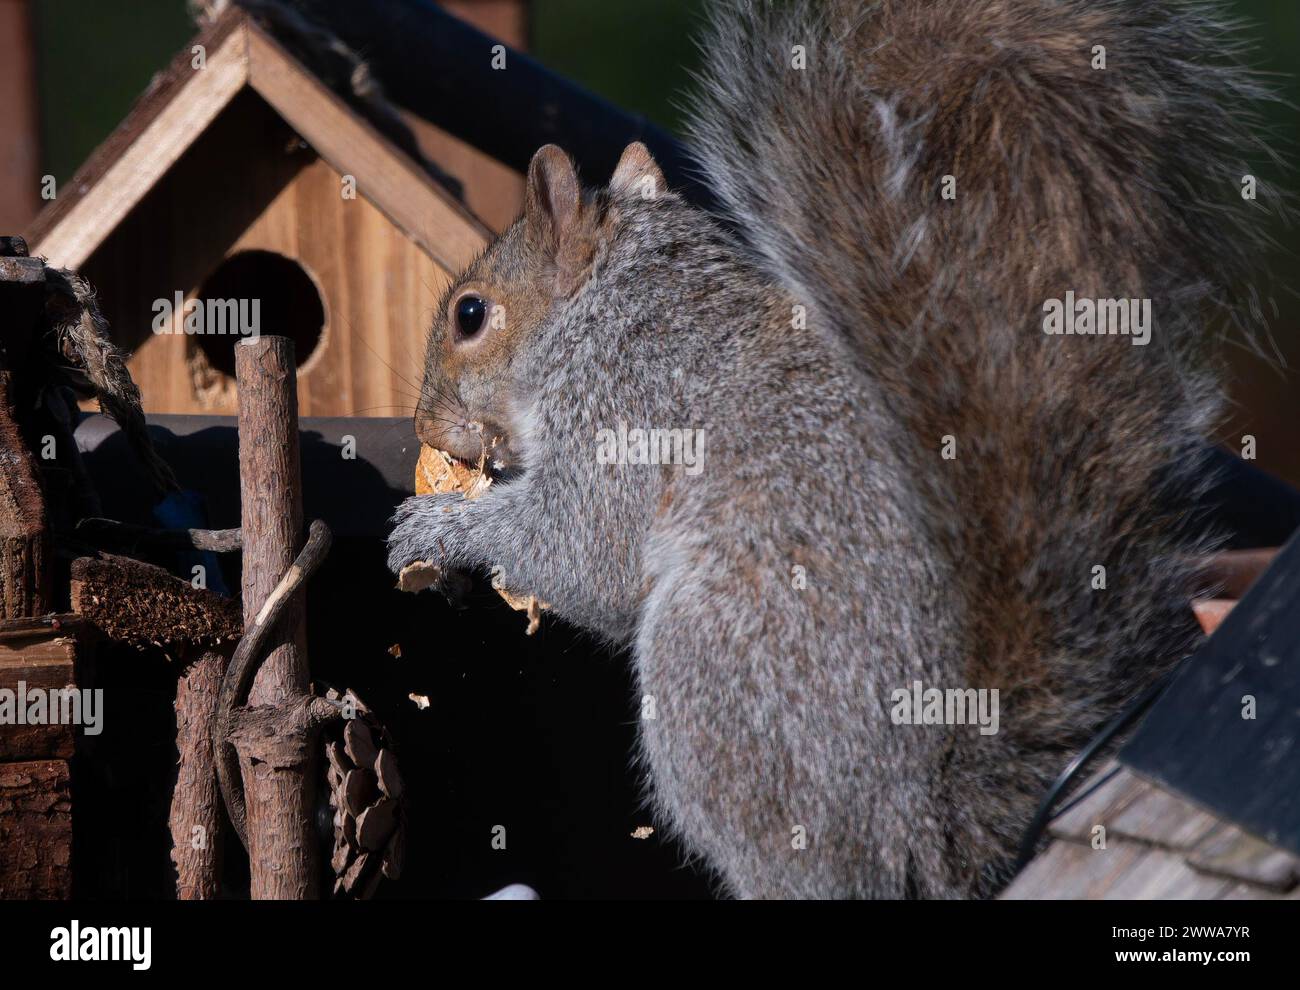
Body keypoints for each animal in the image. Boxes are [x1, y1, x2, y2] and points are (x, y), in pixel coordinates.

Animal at [387, 0, 1276, 898]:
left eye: (470, 314)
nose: (424, 426)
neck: (612, 308)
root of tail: (919, 828)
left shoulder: (627, 407)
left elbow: (579, 553)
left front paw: (439, 528)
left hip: (715, 681)